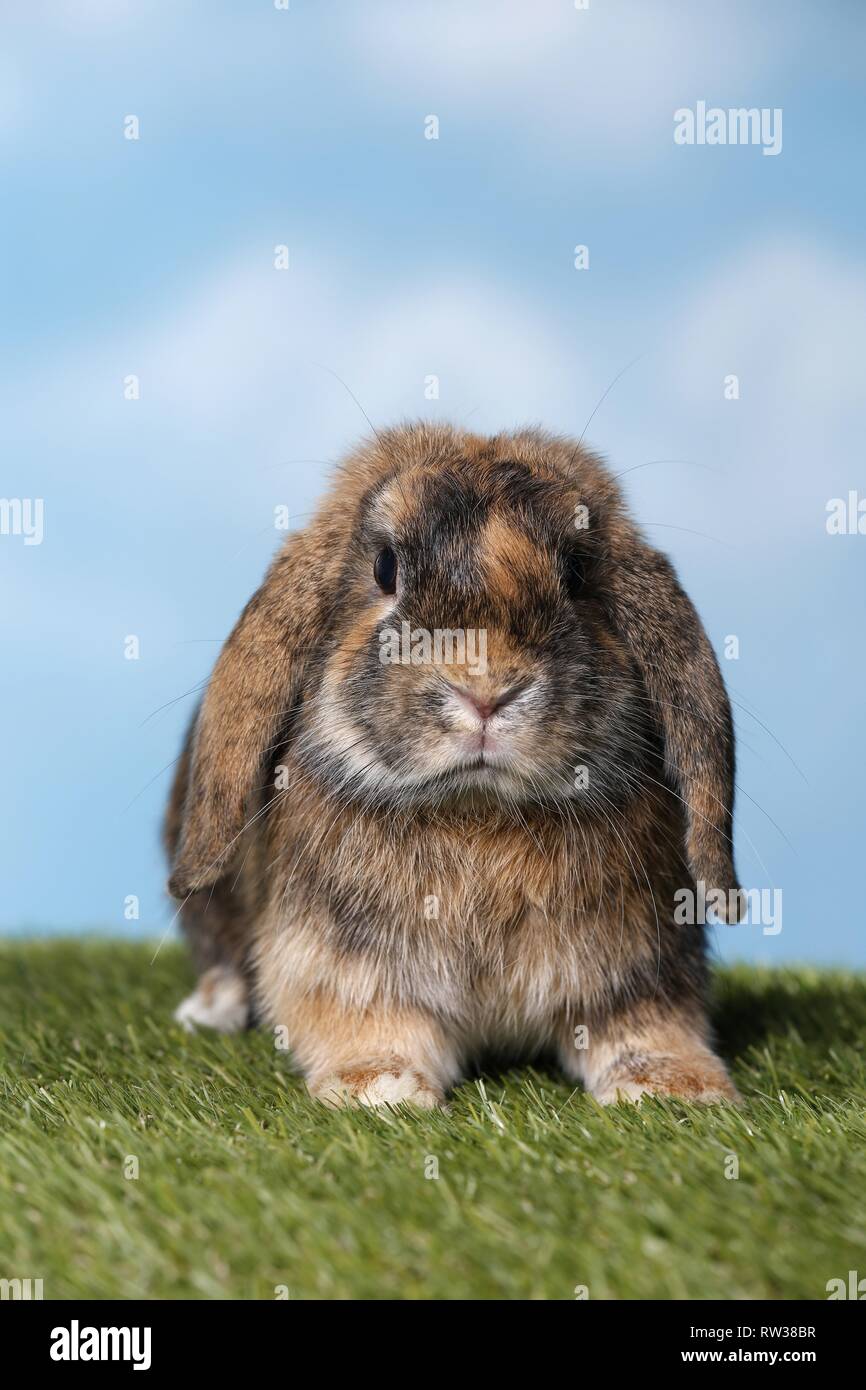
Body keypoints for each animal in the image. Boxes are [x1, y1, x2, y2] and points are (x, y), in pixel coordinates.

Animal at [165, 422, 742, 1108]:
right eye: (386, 568)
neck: (478, 812)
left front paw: (674, 1087)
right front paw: (377, 1086)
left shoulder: (638, 967)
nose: (486, 691)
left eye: (577, 575)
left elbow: (641, 1027)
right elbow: (370, 1025)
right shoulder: (341, 967)